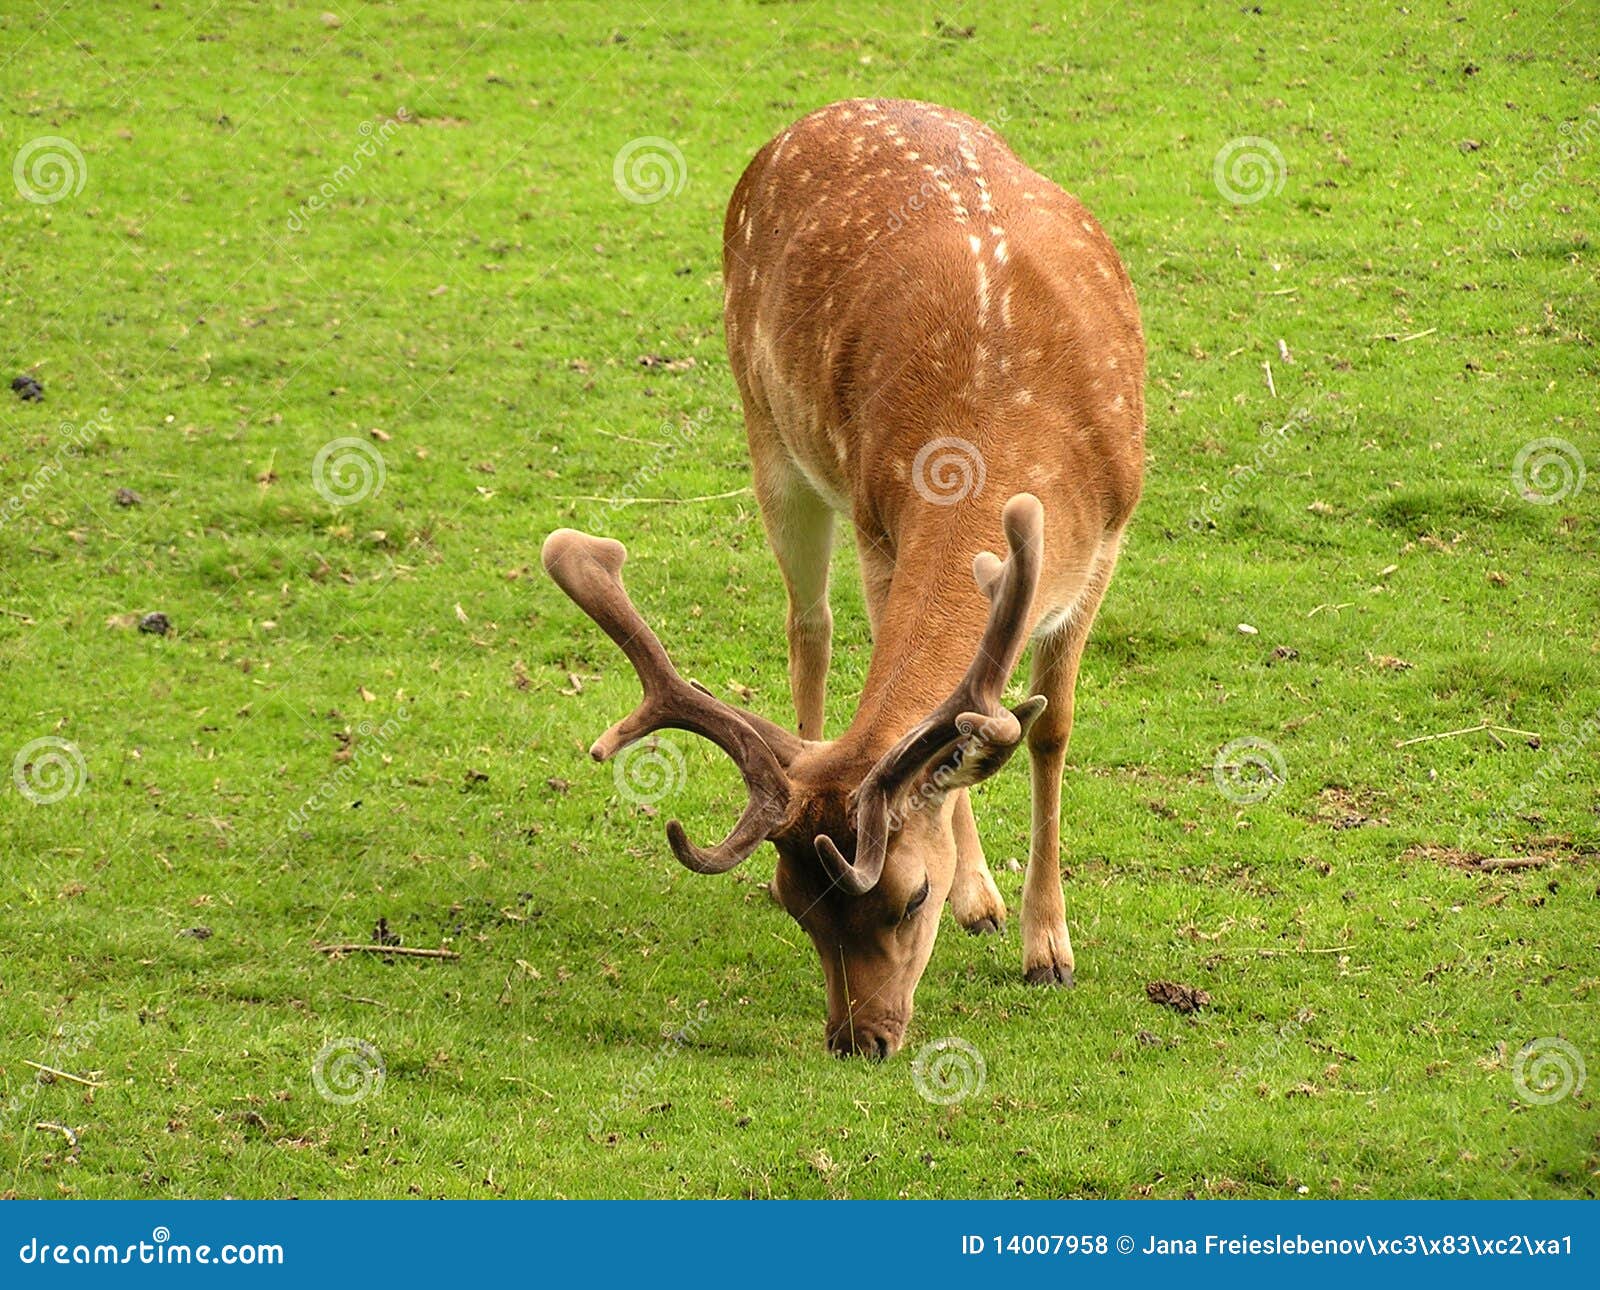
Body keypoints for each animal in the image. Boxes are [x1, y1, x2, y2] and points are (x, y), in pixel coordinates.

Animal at [543, 99, 1144, 1058]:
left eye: (909, 898)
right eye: (800, 909)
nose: (859, 1039)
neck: (1005, 422)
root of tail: (824, 114)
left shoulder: (1109, 541)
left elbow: (1042, 730)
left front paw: (1048, 948)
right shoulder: (877, 524)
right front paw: (988, 901)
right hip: (768, 430)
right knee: (810, 630)